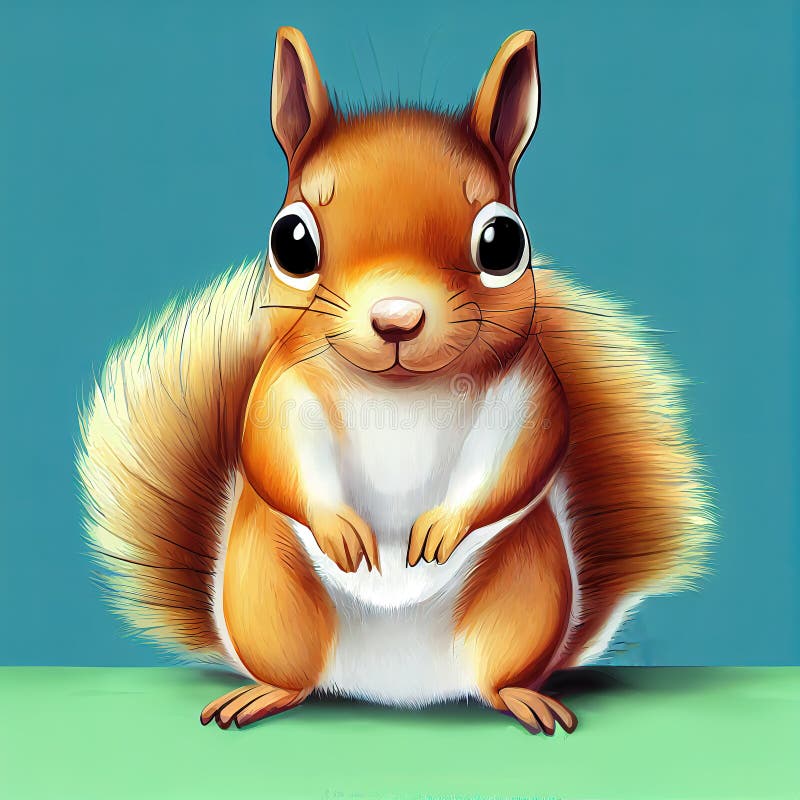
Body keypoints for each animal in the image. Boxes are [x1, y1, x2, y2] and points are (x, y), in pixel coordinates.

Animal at [77, 27, 713, 734]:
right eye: (290, 240)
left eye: (504, 242)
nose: (397, 318)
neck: (399, 395)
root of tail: (393, 688)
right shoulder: (279, 392)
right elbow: (273, 454)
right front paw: (340, 529)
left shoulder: (528, 390)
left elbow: (526, 452)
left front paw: (441, 529)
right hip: (269, 590)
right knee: (292, 673)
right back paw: (262, 693)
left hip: (525, 592)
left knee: (498, 675)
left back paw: (524, 698)